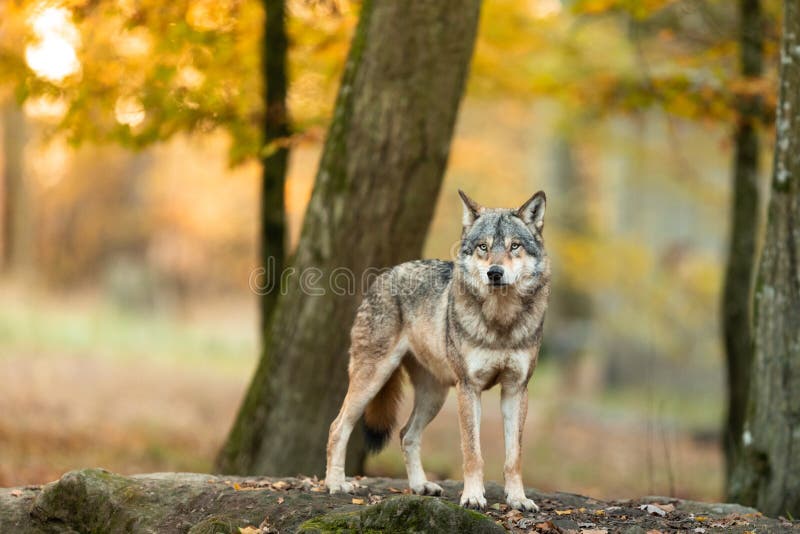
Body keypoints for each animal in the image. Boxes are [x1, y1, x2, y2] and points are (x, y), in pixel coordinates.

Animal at [325, 190, 550, 512]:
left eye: (514, 246)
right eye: (483, 247)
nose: (495, 273)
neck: (500, 323)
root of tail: (386, 274)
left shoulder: (516, 389)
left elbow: (513, 457)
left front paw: (518, 499)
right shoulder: (469, 389)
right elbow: (472, 452)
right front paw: (473, 496)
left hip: (434, 395)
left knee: (406, 434)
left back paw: (421, 486)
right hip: (372, 379)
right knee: (338, 426)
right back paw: (335, 484)